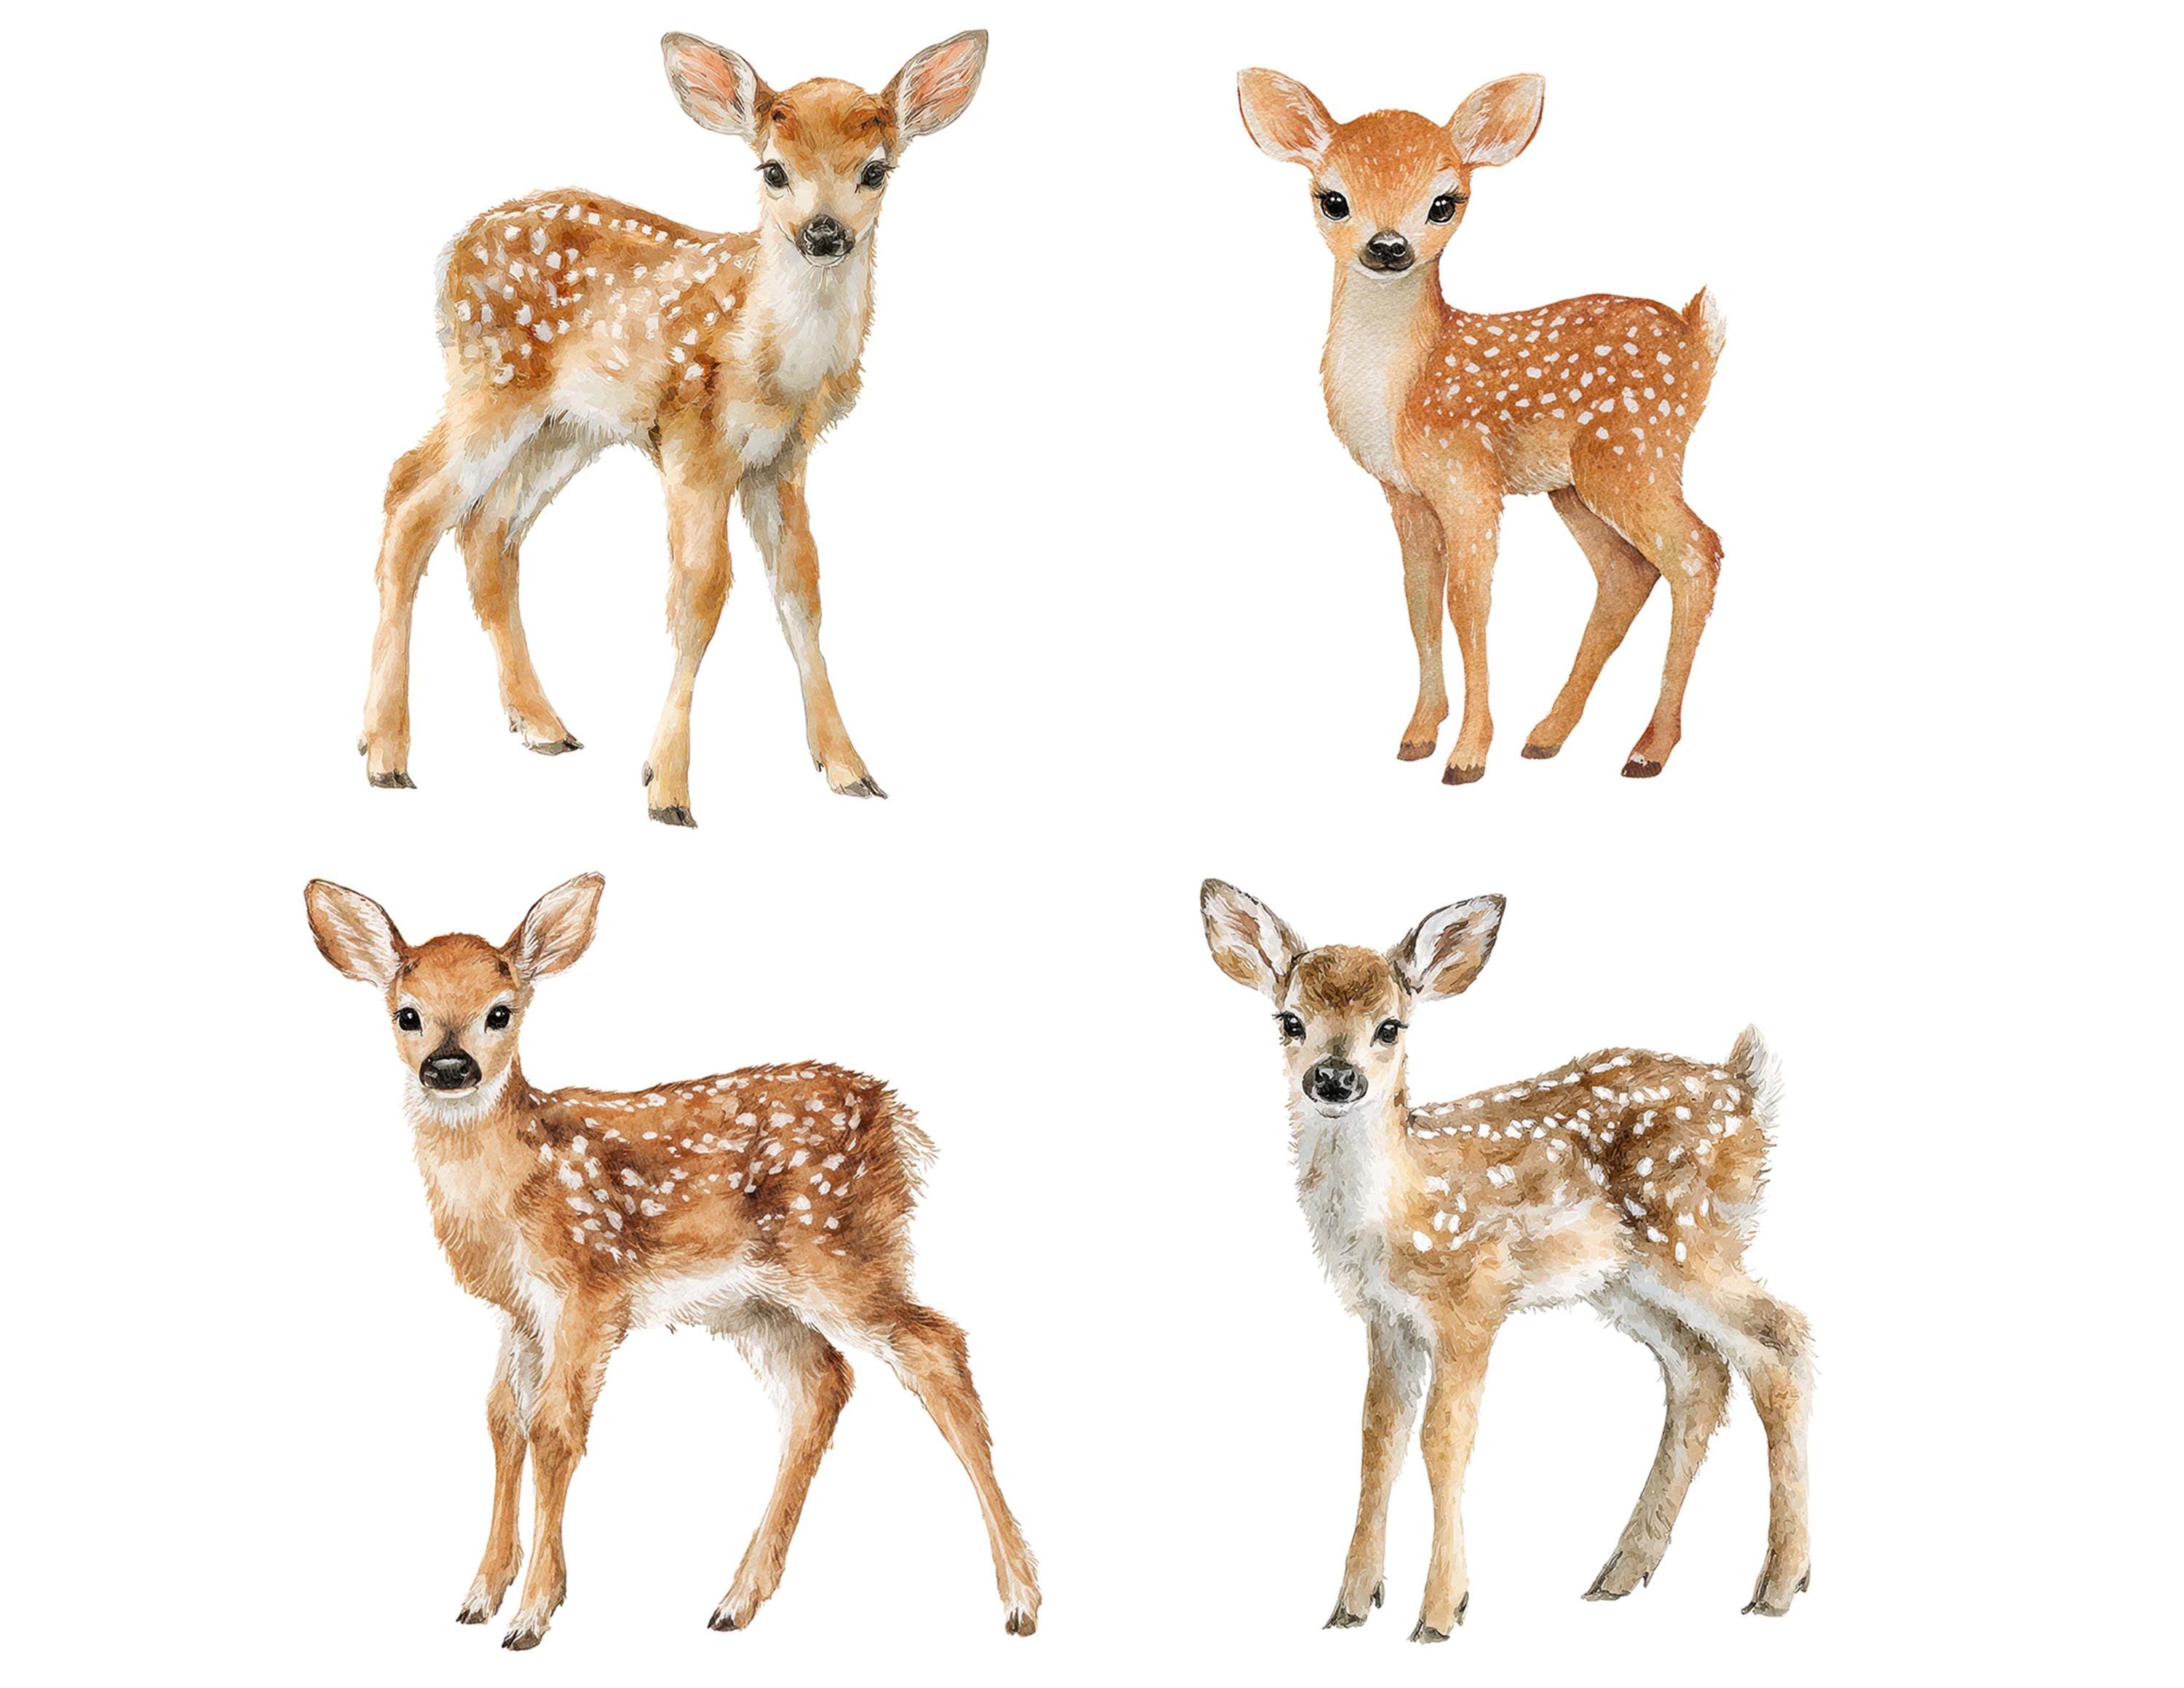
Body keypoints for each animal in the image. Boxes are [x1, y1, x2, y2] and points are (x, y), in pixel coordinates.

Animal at [303, 872, 1041, 1648]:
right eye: (407, 1014)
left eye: (500, 1012)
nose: (449, 1067)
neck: (515, 1176)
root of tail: (893, 1116)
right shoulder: (519, 1307)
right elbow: (504, 1418)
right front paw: (479, 1594)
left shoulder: (590, 1284)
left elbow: (555, 1428)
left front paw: (533, 1612)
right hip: (758, 1299)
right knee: (822, 1383)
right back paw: (737, 1599)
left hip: (840, 1250)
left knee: (936, 1347)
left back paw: (1021, 1597)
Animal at [360, 31, 991, 823]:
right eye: (773, 170)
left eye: (875, 170)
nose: (824, 234)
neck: (772, 361)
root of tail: (453, 251)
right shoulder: (697, 439)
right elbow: (700, 592)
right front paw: (668, 788)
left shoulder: (782, 457)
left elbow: (801, 588)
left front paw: (848, 768)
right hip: (492, 384)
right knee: (409, 498)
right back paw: (386, 753)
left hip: (566, 427)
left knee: (488, 530)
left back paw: (541, 726)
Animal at [1199, 880, 1812, 1640]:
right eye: (1290, 1020)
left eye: (1390, 1027)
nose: (1334, 1078)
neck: (1399, 1206)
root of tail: (1748, 1090)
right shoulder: (1386, 1317)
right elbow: (1378, 1439)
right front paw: (1351, 1603)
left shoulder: (1473, 1295)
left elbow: (1443, 1439)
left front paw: (1440, 1611)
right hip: (1624, 1279)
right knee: (1700, 1369)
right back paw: (1621, 1572)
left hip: (1691, 1236)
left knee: (1781, 1337)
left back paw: (1779, 1584)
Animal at [1237, 69, 1729, 784]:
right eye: (1333, 199)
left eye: (1445, 203)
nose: (1389, 246)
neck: (1404, 388)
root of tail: (1699, 339)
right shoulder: (1406, 492)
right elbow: (1419, 599)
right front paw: (1419, 733)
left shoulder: (1468, 476)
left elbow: (1469, 604)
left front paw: (1468, 754)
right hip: (1574, 483)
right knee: (1627, 571)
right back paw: (1549, 734)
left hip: (1634, 449)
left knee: (1696, 551)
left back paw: (1648, 748)